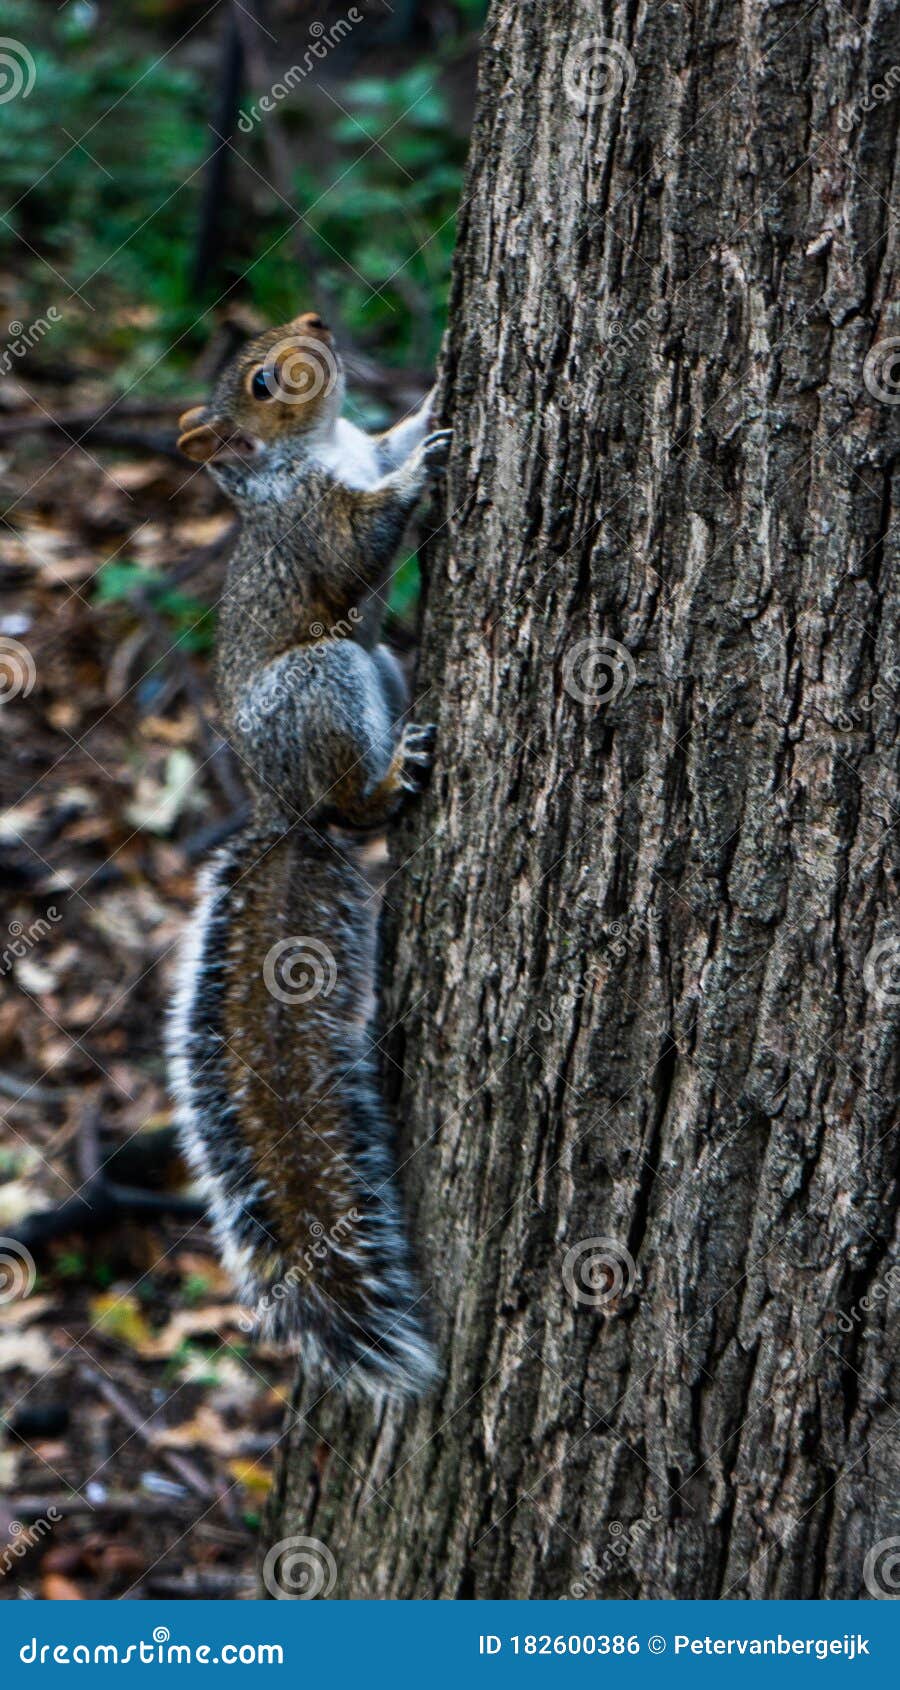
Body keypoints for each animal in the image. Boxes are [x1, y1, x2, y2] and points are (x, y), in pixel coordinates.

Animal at [168, 312, 450, 1398]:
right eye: (258, 380)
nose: (318, 327)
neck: (322, 449)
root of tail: (285, 809)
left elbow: (390, 434)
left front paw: (433, 390)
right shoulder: (312, 523)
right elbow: (356, 545)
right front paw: (421, 472)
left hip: (375, 670)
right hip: (327, 679)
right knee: (355, 802)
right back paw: (389, 778)